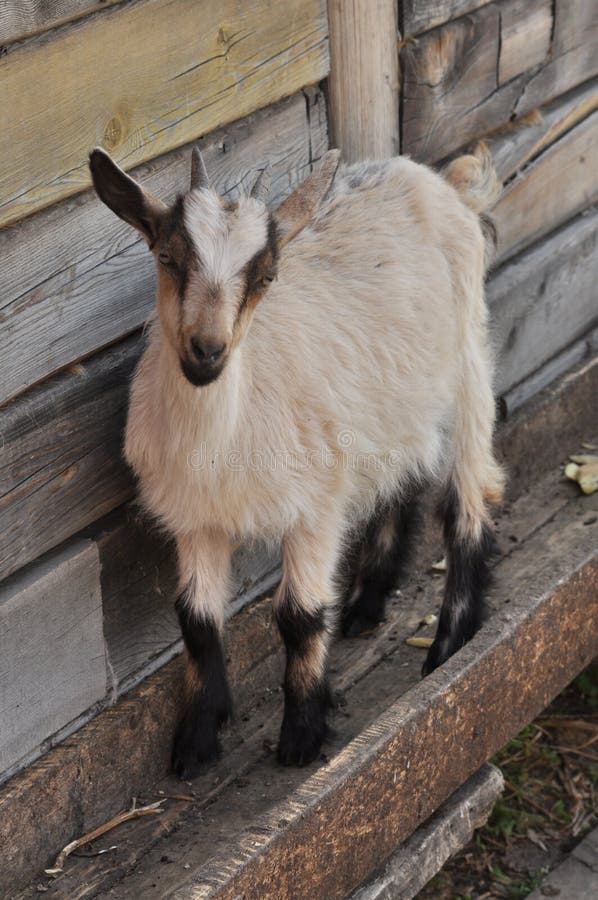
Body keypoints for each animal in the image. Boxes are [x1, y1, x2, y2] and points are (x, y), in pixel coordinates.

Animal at [89, 143, 504, 777]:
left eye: (266, 276)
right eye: (166, 256)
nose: (207, 351)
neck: (220, 439)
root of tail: (433, 179)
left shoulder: (315, 508)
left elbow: (300, 616)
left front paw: (303, 735)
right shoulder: (196, 518)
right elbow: (197, 620)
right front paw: (196, 739)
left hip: (467, 363)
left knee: (468, 494)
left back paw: (450, 640)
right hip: (393, 401)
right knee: (402, 475)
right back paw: (366, 603)